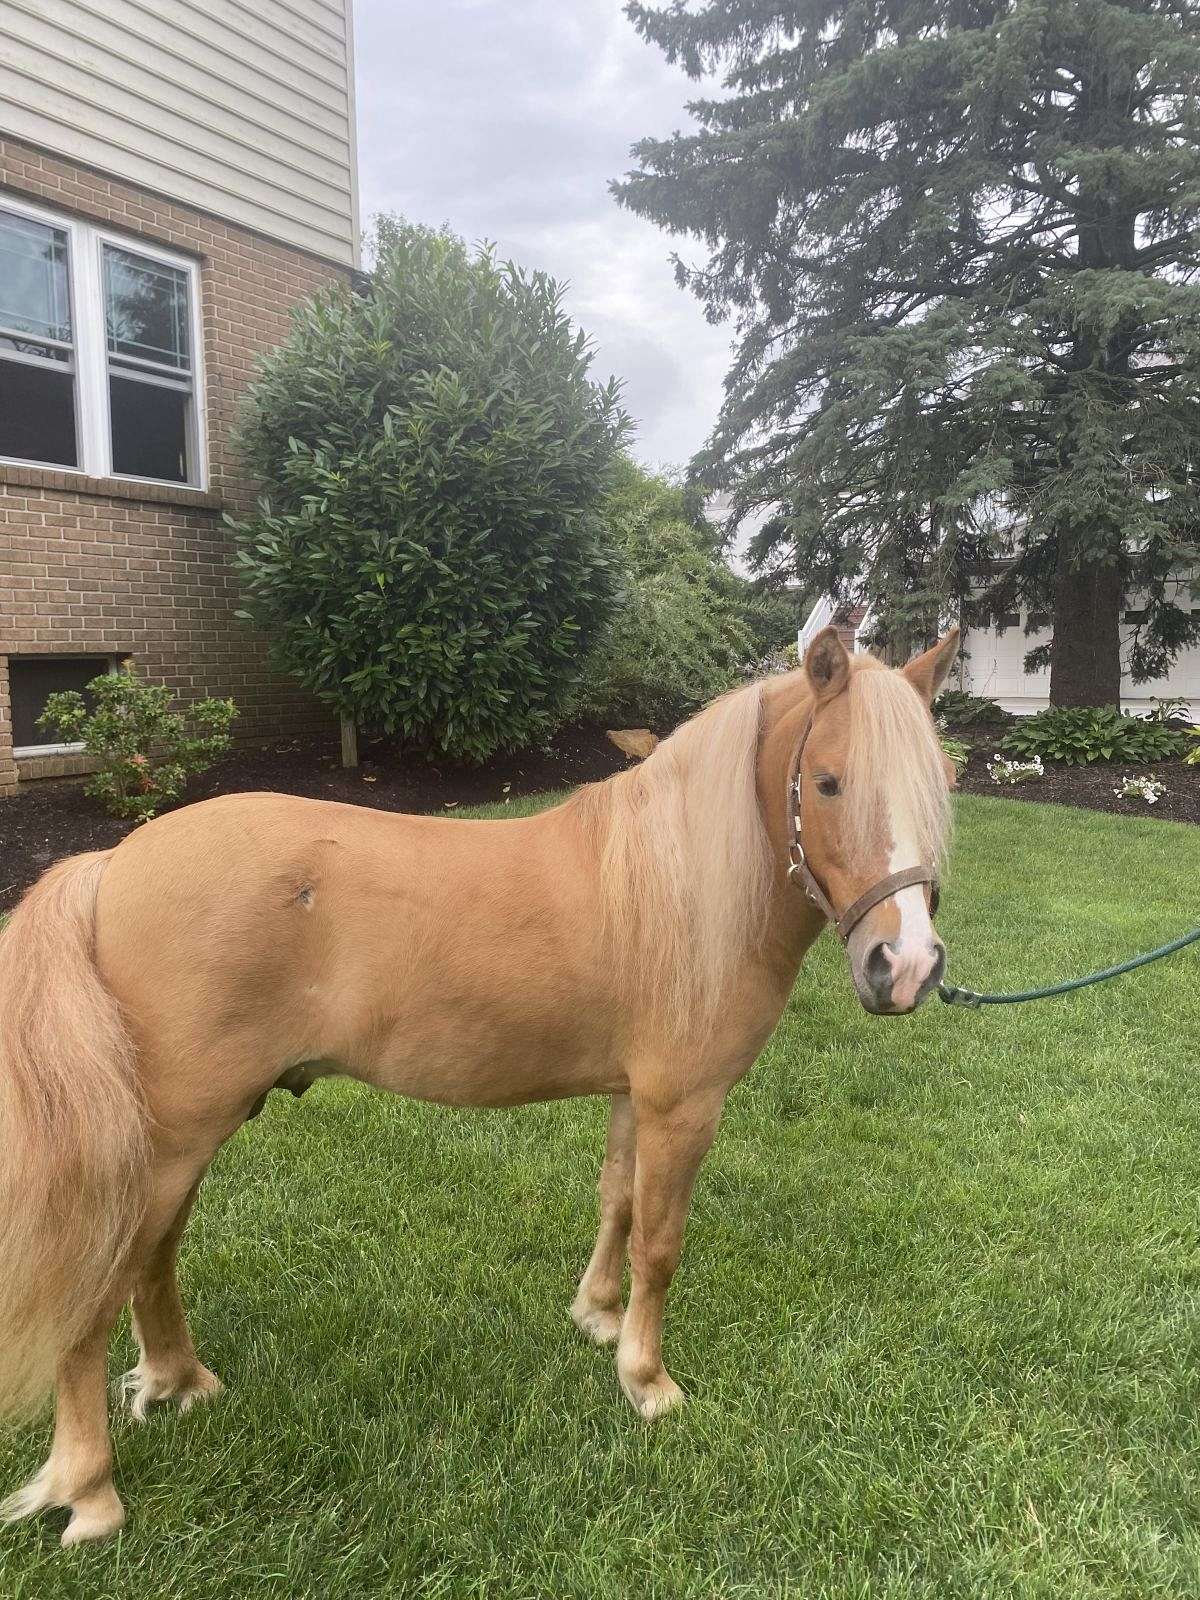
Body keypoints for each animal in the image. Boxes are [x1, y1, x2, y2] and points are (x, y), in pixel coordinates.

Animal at [0, 624, 959, 1544]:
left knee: (151, 1260)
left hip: (184, 1138)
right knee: (100, 1284)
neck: (679, 885)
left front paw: (598, 1318)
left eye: (941, 785)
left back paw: (180, 1382)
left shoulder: (632, 1092)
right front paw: (647, 1382)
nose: (905, 968)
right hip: (171, 1140)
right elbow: (660, 1241)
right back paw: (91, 1492)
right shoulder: (683, 1104)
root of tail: (111, 863)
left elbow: (617, 1200)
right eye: (828, 783)